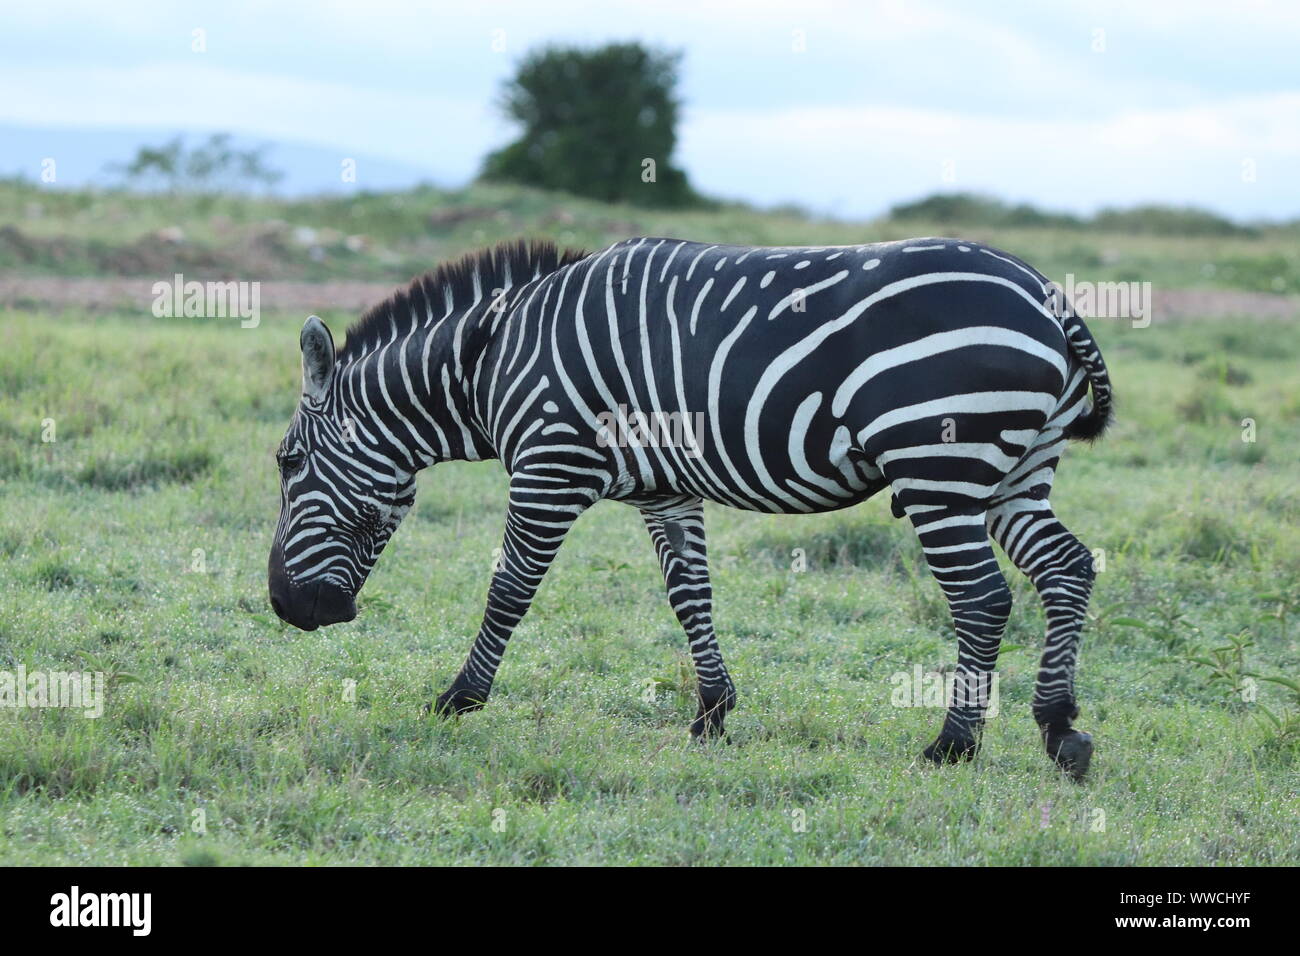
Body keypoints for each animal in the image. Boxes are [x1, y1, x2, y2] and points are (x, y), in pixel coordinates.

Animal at [268, 236, 1113, 779]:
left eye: (287, 463)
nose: (286, 607)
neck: (489, 359)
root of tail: (1048, 295)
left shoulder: (550, 465)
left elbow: (509, 588)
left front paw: (459, 698)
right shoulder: (666, 489)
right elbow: (690, 596)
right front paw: (712, 712)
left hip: (938, 463)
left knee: (983, 597)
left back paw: (953, 745)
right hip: (1013, 469)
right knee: (1066, 568)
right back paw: (1060, 729)